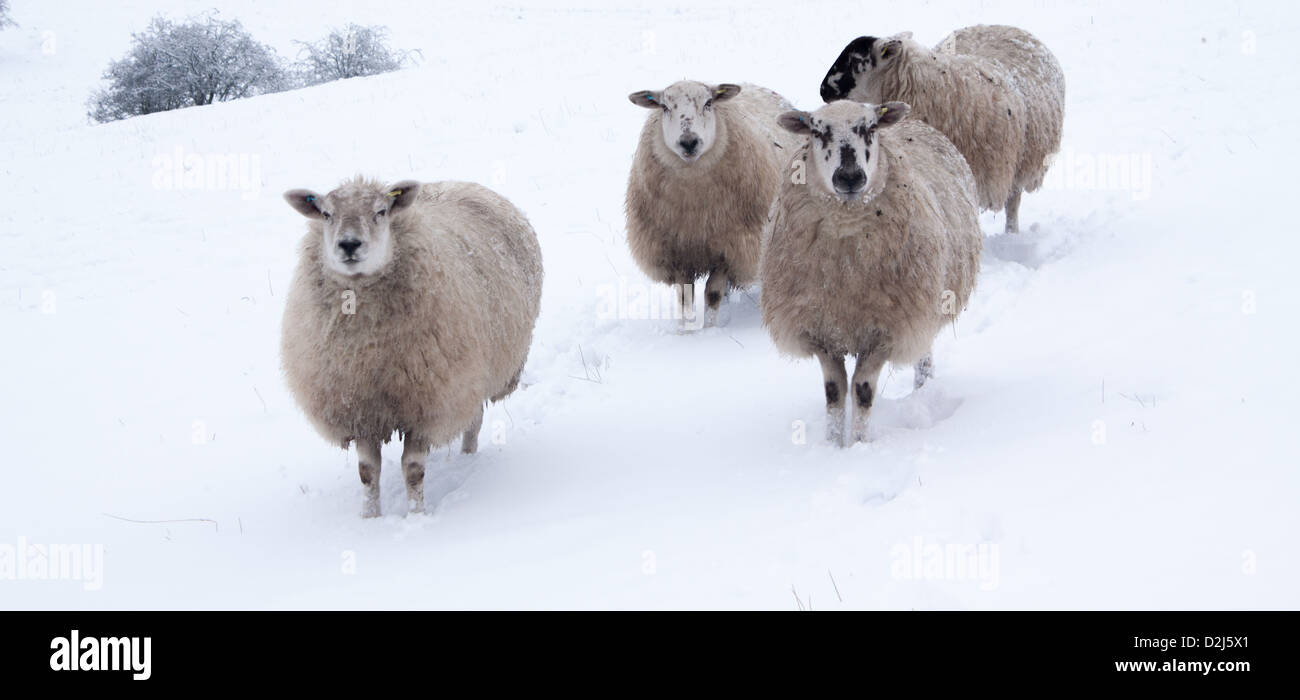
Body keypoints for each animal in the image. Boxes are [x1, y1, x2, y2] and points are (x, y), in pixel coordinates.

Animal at [281, 177, 543, 517]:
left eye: (381, 211)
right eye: (326, 214)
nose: (349, 245)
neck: (370, 348)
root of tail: (460, 182)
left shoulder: (427, 405)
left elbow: (414, 469)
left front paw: (416, 514)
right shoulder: (360, 407)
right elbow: (368, 472)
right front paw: (370, 517)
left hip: (471, 378)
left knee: (473, 423)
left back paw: (468, 459)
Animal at [625, 81, 801, 327]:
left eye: (708, 103)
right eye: (664, 107)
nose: (689, 142)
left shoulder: (731, 248)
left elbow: (712, 292)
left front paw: (709, 328)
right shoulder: (677, 251)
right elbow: (685, 296)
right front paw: (685, 329)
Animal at [761, 101, 982, 445]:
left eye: (871, 127)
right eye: (817, 131)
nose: (850, 177)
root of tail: (916, 122)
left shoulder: (886, 331)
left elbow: (862, 391)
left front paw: (860, 444)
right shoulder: (820, 331)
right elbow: (834, 392)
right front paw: (833, 443)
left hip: (926, 301)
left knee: (923, 353)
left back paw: (924, 389)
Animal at [819, 25, 1065, 234]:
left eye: (856, 61)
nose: (822, 90)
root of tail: (1007, 27)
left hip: (1022, 162)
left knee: (1013, 202)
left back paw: (1011, 232)